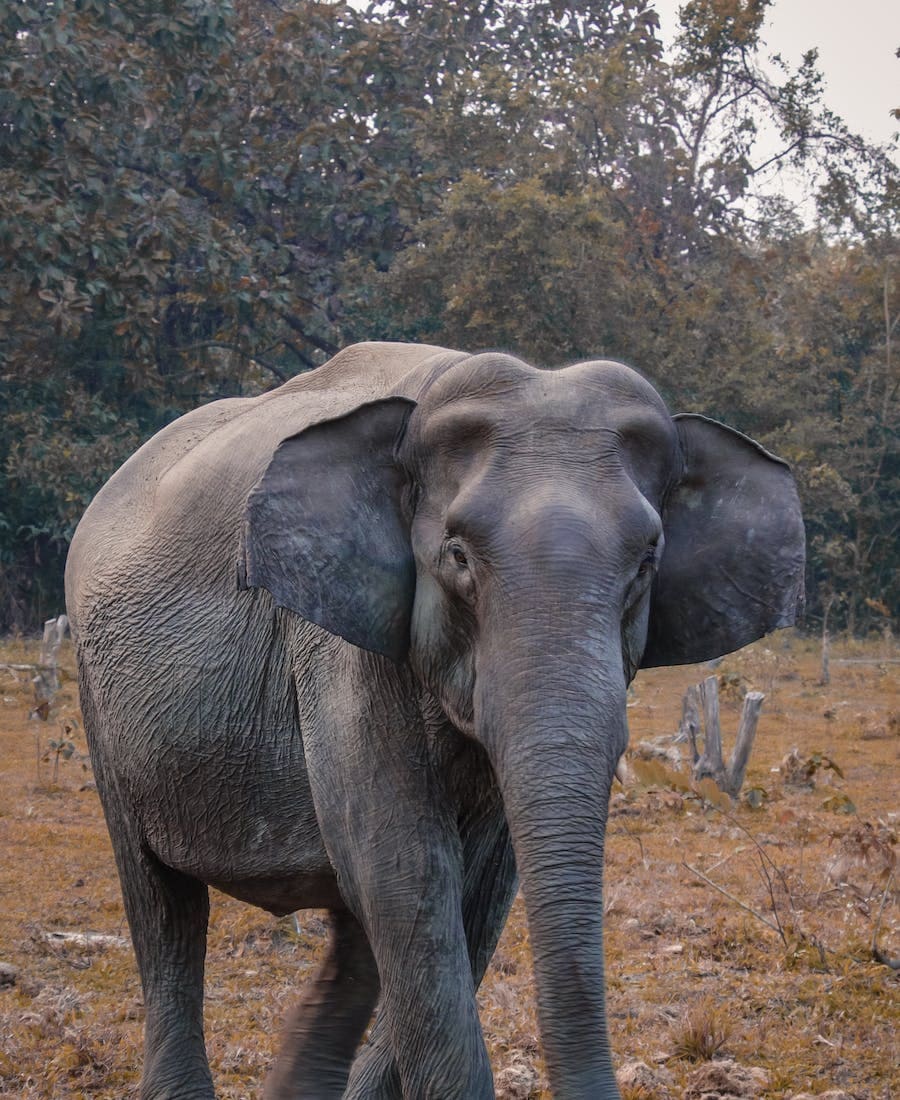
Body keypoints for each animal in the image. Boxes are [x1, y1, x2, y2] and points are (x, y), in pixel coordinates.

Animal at [65, 341, 805, 1099]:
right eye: (458, 557)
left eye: (645, 564)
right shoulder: (340, 646)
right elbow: (406, 869)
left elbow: (478, 888)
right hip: (98, 696)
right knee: (162, 902)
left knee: (350, 935)